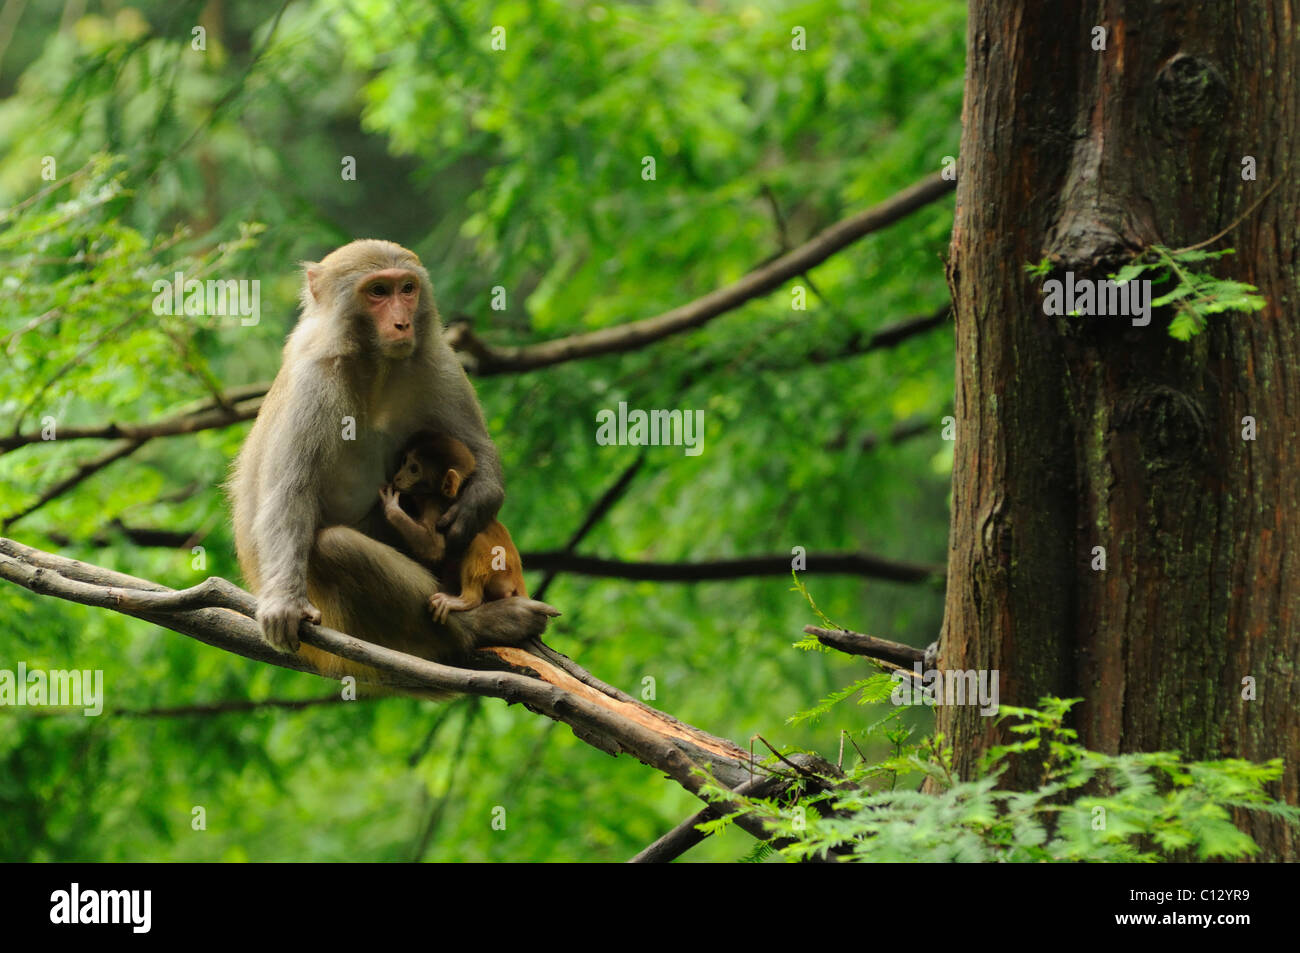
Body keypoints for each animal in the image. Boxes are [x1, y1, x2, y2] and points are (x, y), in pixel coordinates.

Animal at [378, 432, 529, 623]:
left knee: (475, 540)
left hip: (500, 570)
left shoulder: (435, 506)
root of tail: (518, 577)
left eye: (414, 469)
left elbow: (435, 547)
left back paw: (467, 600)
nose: (397, 477)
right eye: (405, 461)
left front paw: (392, 506)